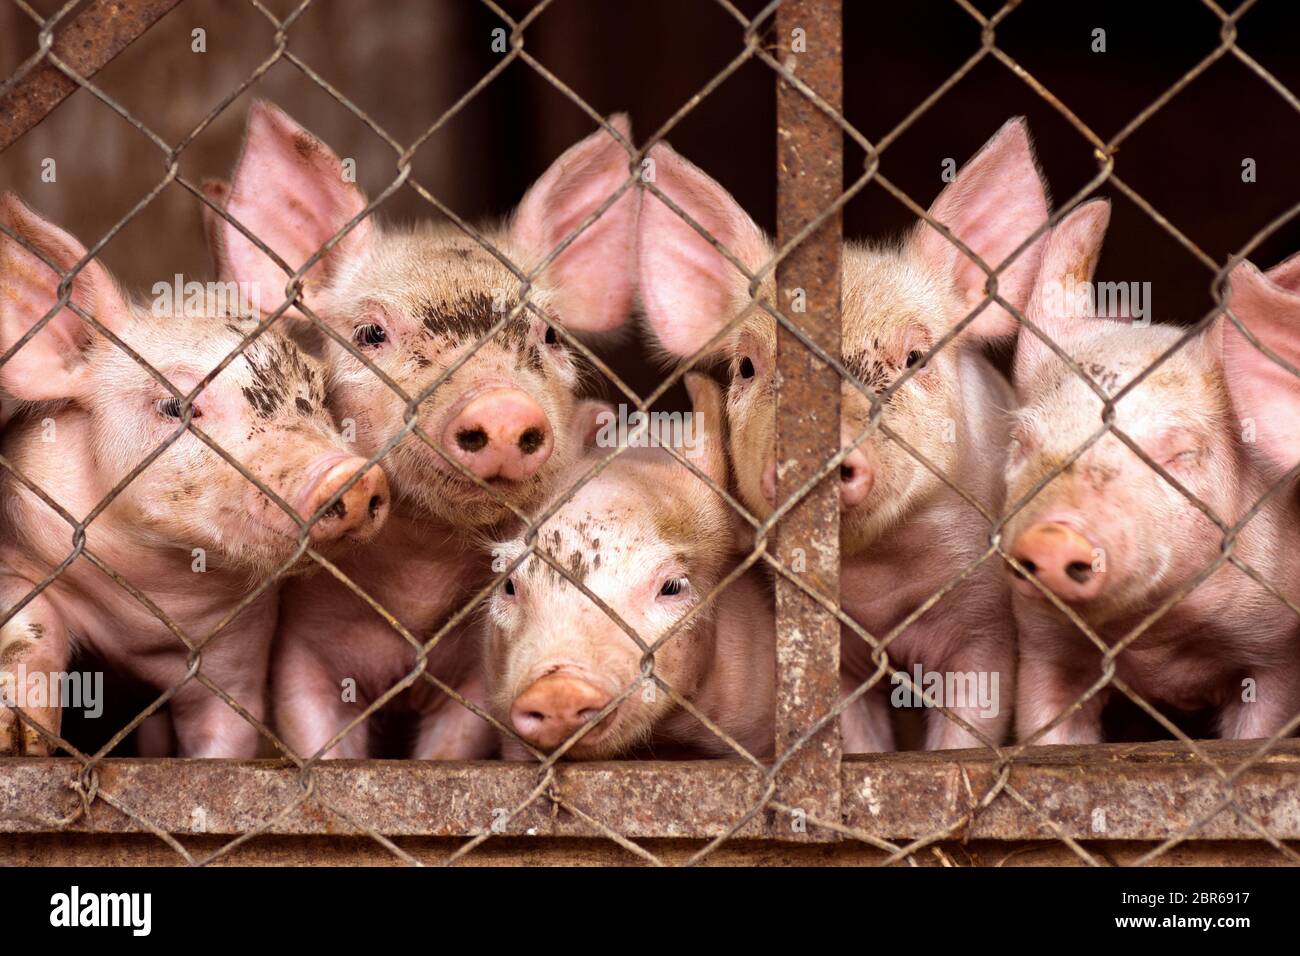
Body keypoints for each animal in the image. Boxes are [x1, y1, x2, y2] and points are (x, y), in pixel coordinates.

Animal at [0, 194, 389, 757]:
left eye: (319, 394)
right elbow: (31, 617)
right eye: (176, 405)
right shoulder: (21, 546)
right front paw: (21, 741)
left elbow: (223, 738)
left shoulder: (234, 654)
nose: (351, 475)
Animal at [209, 102, 640, 758]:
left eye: (549, 335)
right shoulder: (302, 651)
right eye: (371, 333)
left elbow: (450, 748)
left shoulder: (474, 668)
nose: (503, 406)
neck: (418, 579)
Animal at [1006, 199, 1300, 744]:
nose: (1053, 536)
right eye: (1022, 441)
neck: (1158, 649)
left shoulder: (1276, 650)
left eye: (1180, 453)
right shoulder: (1042, 645)